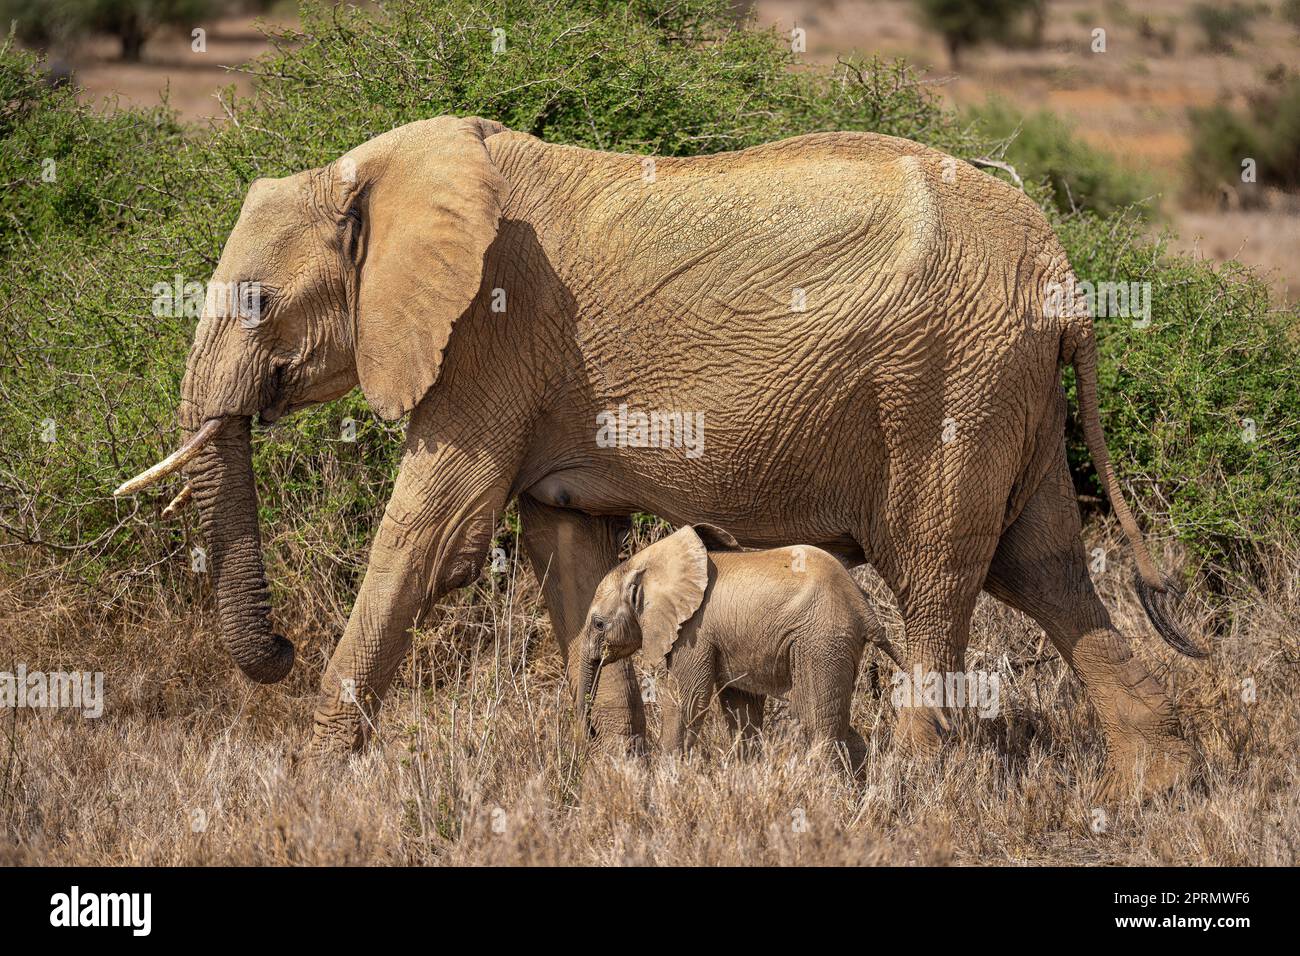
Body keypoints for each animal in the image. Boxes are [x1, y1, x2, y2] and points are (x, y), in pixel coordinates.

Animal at [573, 523, 904, 769]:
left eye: (599, 624)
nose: (589, 733)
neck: (648, 563)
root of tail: (863, 606)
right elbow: (742, 710)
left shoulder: (695, 631)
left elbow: (687, 702)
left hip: (820, 638)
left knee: (816, 721)